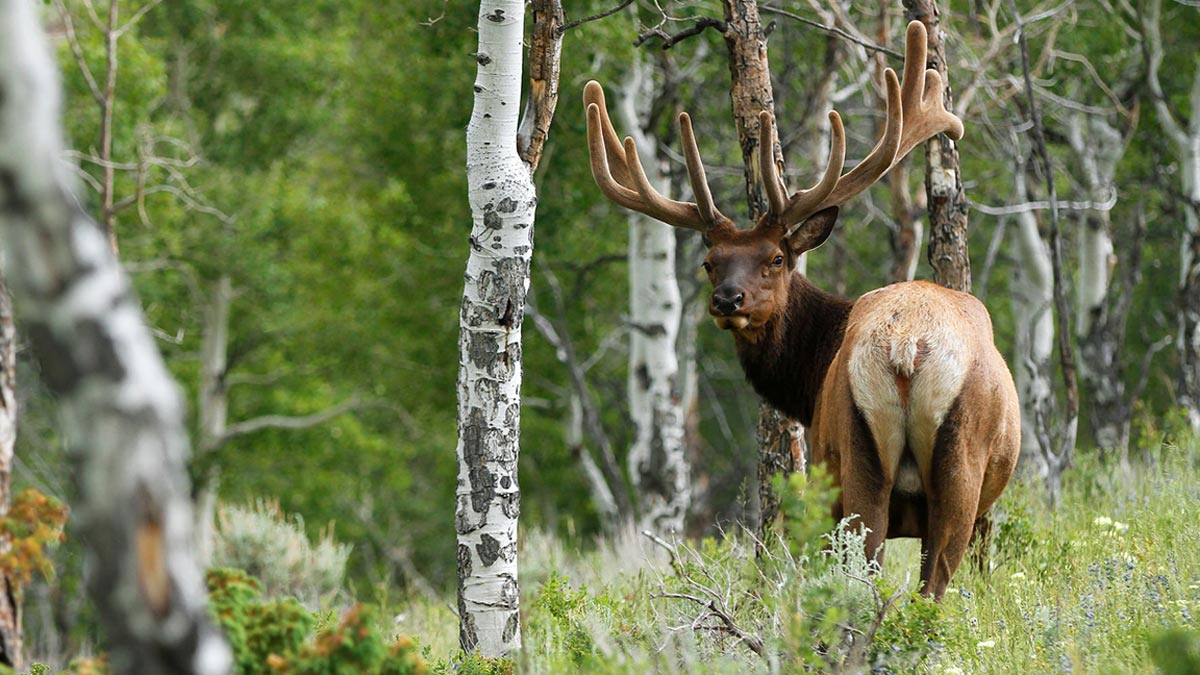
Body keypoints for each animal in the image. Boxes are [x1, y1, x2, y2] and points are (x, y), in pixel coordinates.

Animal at [582, 21, 1020, 599]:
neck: (808, 380)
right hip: (911, 461)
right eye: (709, 262)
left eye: (775, 258)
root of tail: (906, 348)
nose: (728, 300)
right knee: (914, 579)